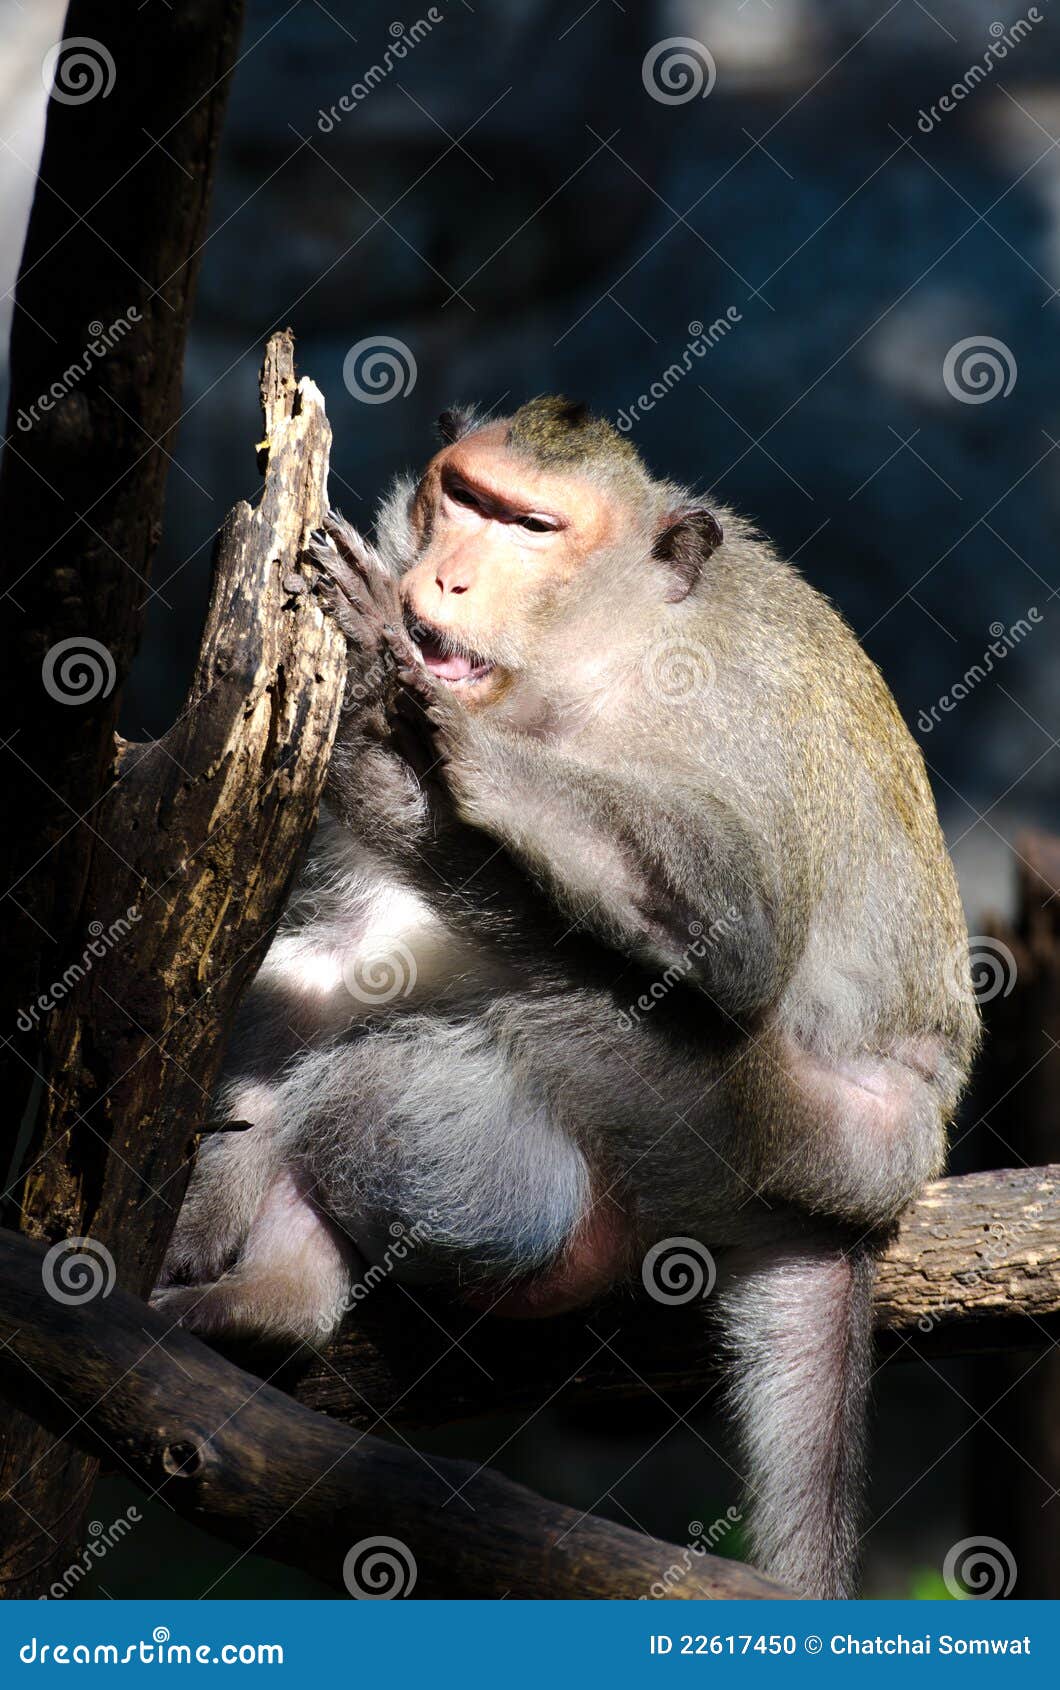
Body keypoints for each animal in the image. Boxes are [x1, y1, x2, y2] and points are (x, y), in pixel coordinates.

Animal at [153, 395, 978, 1599]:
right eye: (465, 498)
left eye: (533, 527)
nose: (446, 579)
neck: (590, 668)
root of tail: (871, 1201)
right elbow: (339, 947)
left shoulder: (716, 705)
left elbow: (736, 936)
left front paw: (384, 692)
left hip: (767, 1128)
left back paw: (279, 1298)